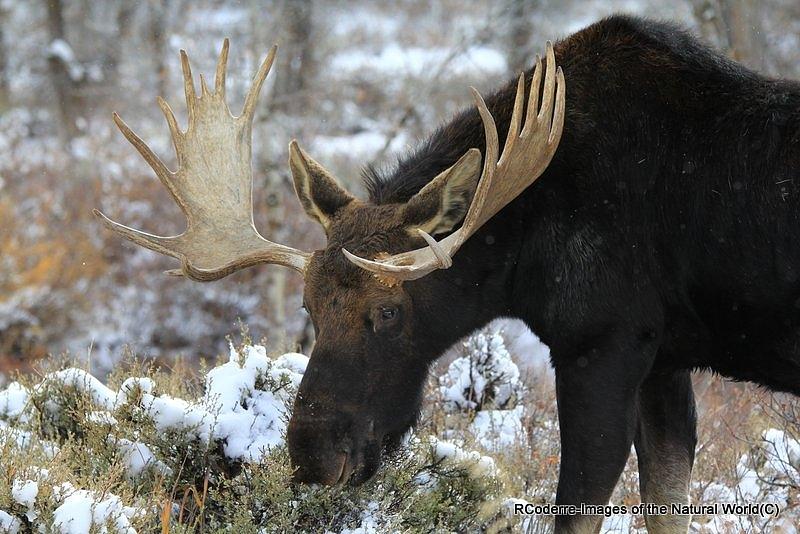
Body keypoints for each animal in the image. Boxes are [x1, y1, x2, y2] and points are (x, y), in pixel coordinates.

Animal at [97, 15, 800, 534]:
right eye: (308, 308)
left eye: (389, 312)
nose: (314, 454)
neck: (522, 255)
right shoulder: (666, 358)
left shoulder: (604, 343)